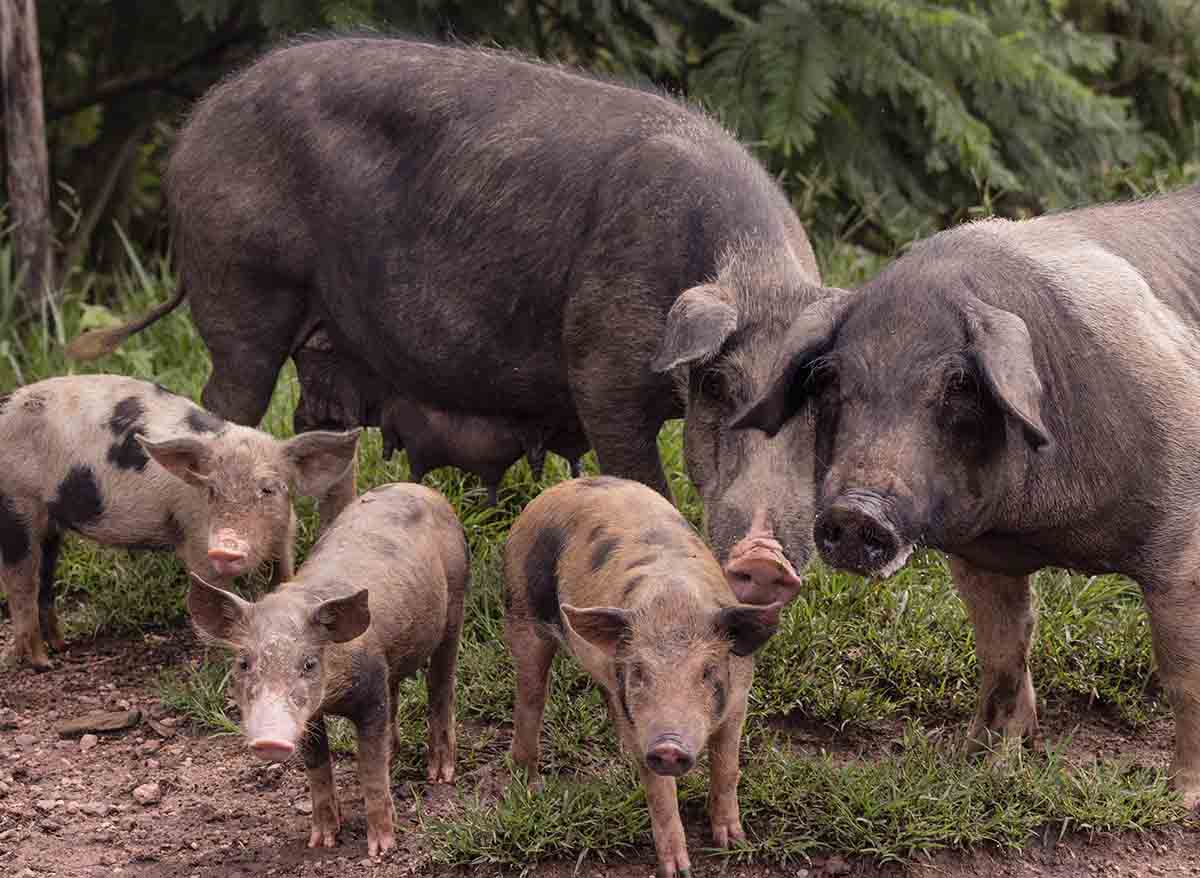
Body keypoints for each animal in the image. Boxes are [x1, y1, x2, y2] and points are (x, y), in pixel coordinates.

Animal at [0, 374, 360, 669]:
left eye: (268, 489)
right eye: (212, 490)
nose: (226, 546)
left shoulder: (285, 534)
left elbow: (283, 578)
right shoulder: (197, 542)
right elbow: (216, 598)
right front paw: (221, 659)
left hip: (50, 525)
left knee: (43, 581)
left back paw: (60, 647)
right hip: (16, 507)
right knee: (20, 584)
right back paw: (41, 663)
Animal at [65, 35, 824, 604]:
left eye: (821, 407)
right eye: (718, 387)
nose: (766, 560)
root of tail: (191, 130)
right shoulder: (601, 372)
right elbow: (642, 481)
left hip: (325, 343)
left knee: (316, 430)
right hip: (239, 288)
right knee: (227, 407)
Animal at [186, 482, 468, 856]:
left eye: (309, 663)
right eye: (244, 662)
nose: (270, 740)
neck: (334, 699)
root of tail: (423, 489)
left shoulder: (371, 690)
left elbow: (371, 767)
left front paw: (380, 850)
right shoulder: (314, 714)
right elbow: (317, 765)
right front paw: (321, 843)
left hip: (456, 602)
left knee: (441, 685)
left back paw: (440, 775)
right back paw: (396, 754)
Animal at [504, 476, 782, 876]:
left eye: (707, 671)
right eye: (639, 671)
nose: (668, 746)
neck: (672, 603)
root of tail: (560, 487)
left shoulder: (739, 698)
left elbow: (728, 767)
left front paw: (734, 843)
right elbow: (661, 794)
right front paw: (678, 871)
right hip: (520, 608)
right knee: (530, 697)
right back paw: (530, 787)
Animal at [734, 182, 1200, 805]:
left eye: (958, 384)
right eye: (830, 379)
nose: (857, 512)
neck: (1044, 526)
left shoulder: (1181, 540)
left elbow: (1182, 675)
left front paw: (1179, 798)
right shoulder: (982, 557)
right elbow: (1002, 654)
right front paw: (981, 765)